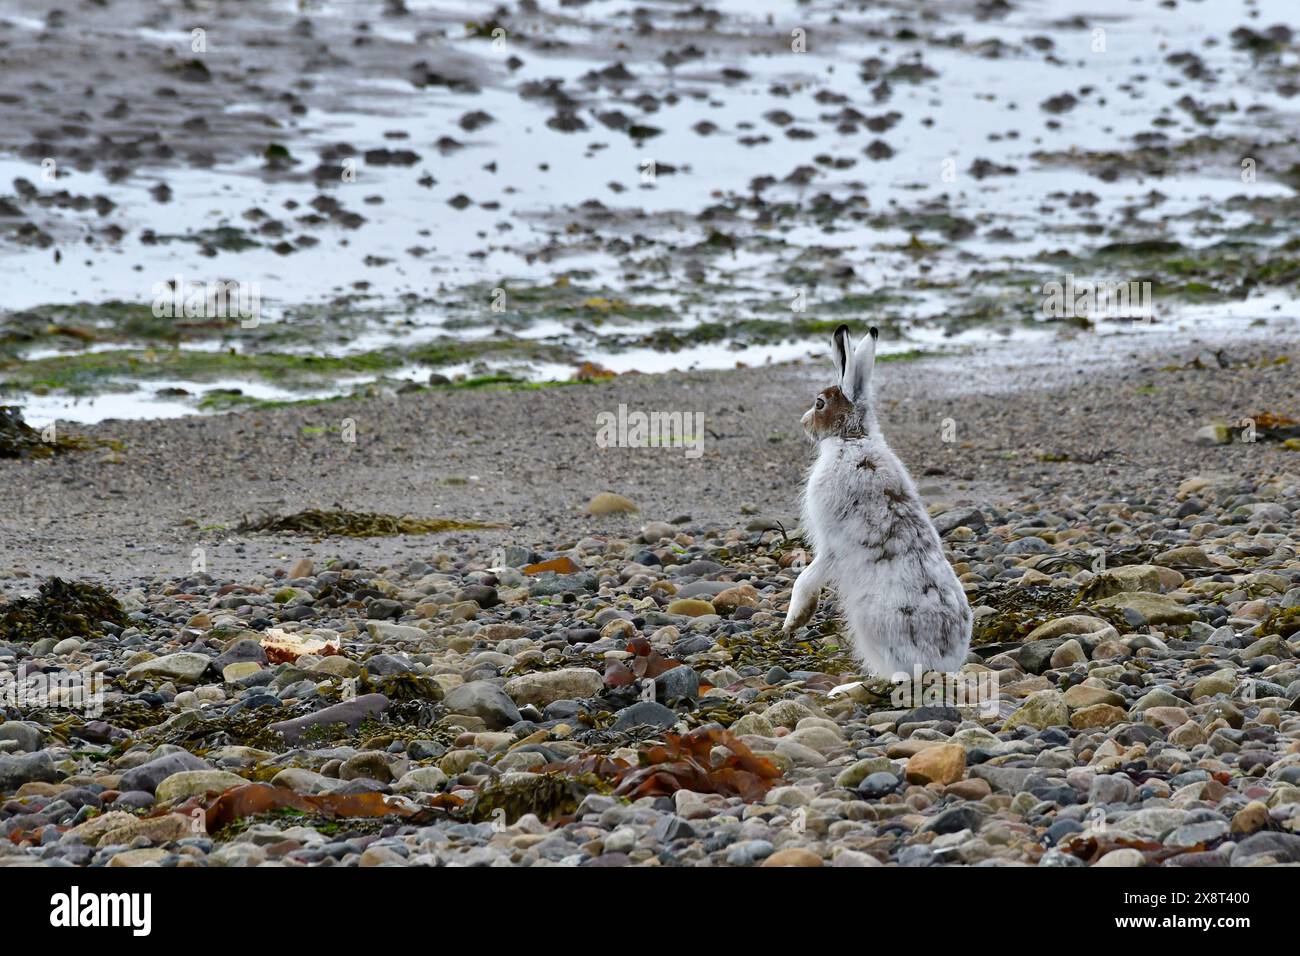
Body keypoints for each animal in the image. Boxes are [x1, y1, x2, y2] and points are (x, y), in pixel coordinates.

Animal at [783, 324, 971, 677]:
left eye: (819, 403)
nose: (802, 422)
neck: (853, 436)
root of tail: (941, 662)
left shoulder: (829, 543)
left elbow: (806, 577)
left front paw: (793, 621)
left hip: (873, 628)